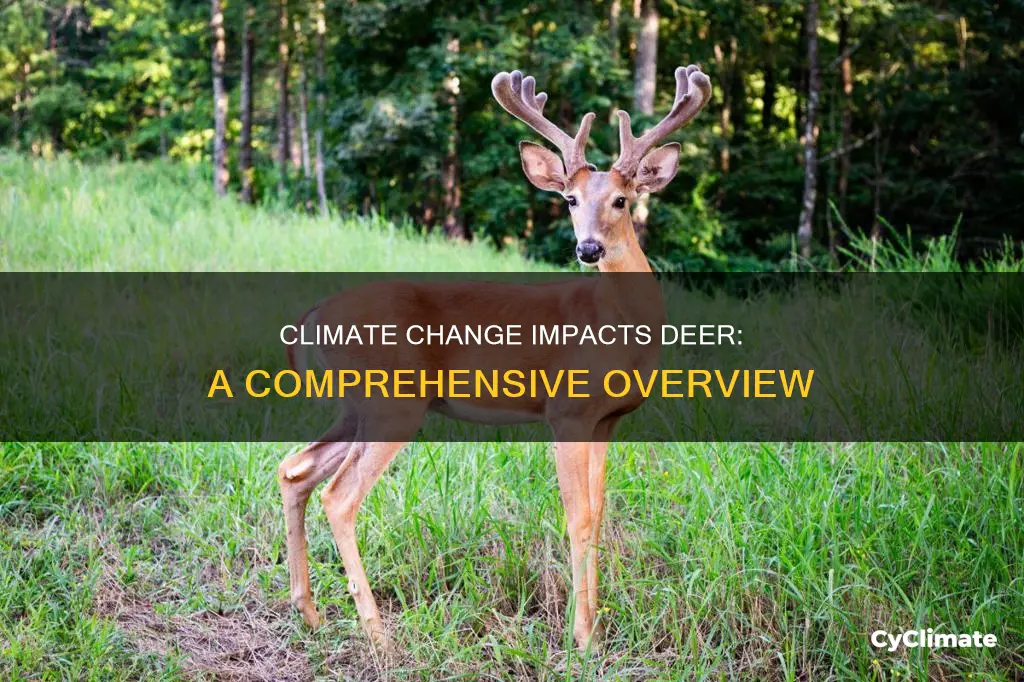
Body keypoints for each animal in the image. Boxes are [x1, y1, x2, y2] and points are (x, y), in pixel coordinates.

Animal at [276, 64, 712, 652]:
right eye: (570, 199)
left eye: (621, 200)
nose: (588, 249)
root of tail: (312, 315)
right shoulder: (566, 411)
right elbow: (577, 518)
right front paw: (582, 638)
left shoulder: (608, 421)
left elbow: (599, 515)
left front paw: (597, 624)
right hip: (392, 402)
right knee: (339, 496)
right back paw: (379, 635)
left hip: (354, 405)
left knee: (295, 469)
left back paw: (310, 613)